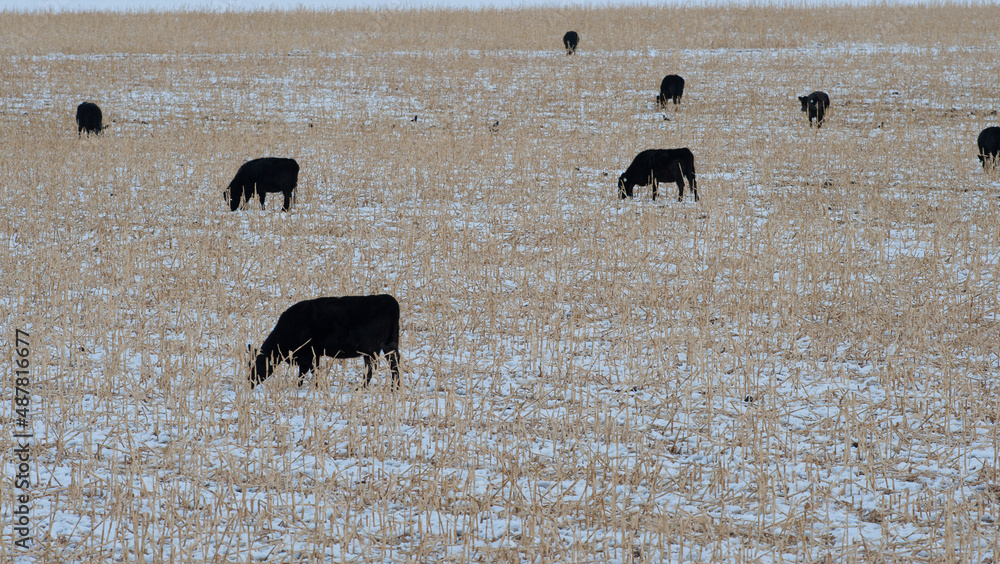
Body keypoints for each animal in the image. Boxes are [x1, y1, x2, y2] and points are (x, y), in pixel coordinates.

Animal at [248, 295, 402, 390]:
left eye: (258, 364)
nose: (249, 381)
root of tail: (388, 299)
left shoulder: (309, 353)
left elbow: (310, 371)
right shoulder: (312, 354)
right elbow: (305, 372)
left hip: (371, 347)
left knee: (371, 366)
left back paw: (362, 388)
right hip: (390, 344)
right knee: (394, 362)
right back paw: (395, 387)